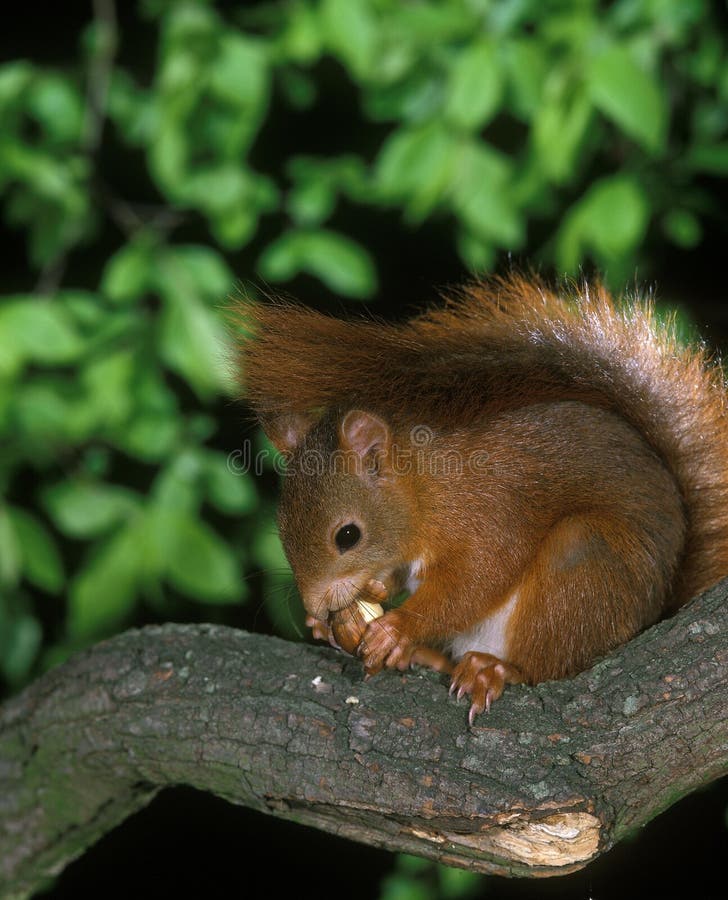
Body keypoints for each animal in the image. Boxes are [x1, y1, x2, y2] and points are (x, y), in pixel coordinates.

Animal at [234, 275, 728, 723]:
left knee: (549, 660)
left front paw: (398, 628)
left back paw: (496, 669)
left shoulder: (490, 510)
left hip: (587, 563)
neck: (424, 489)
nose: (314, 607)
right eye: (280, 527)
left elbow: (478, 577)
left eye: (348, 535)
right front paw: (351, 610)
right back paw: (427, 658)